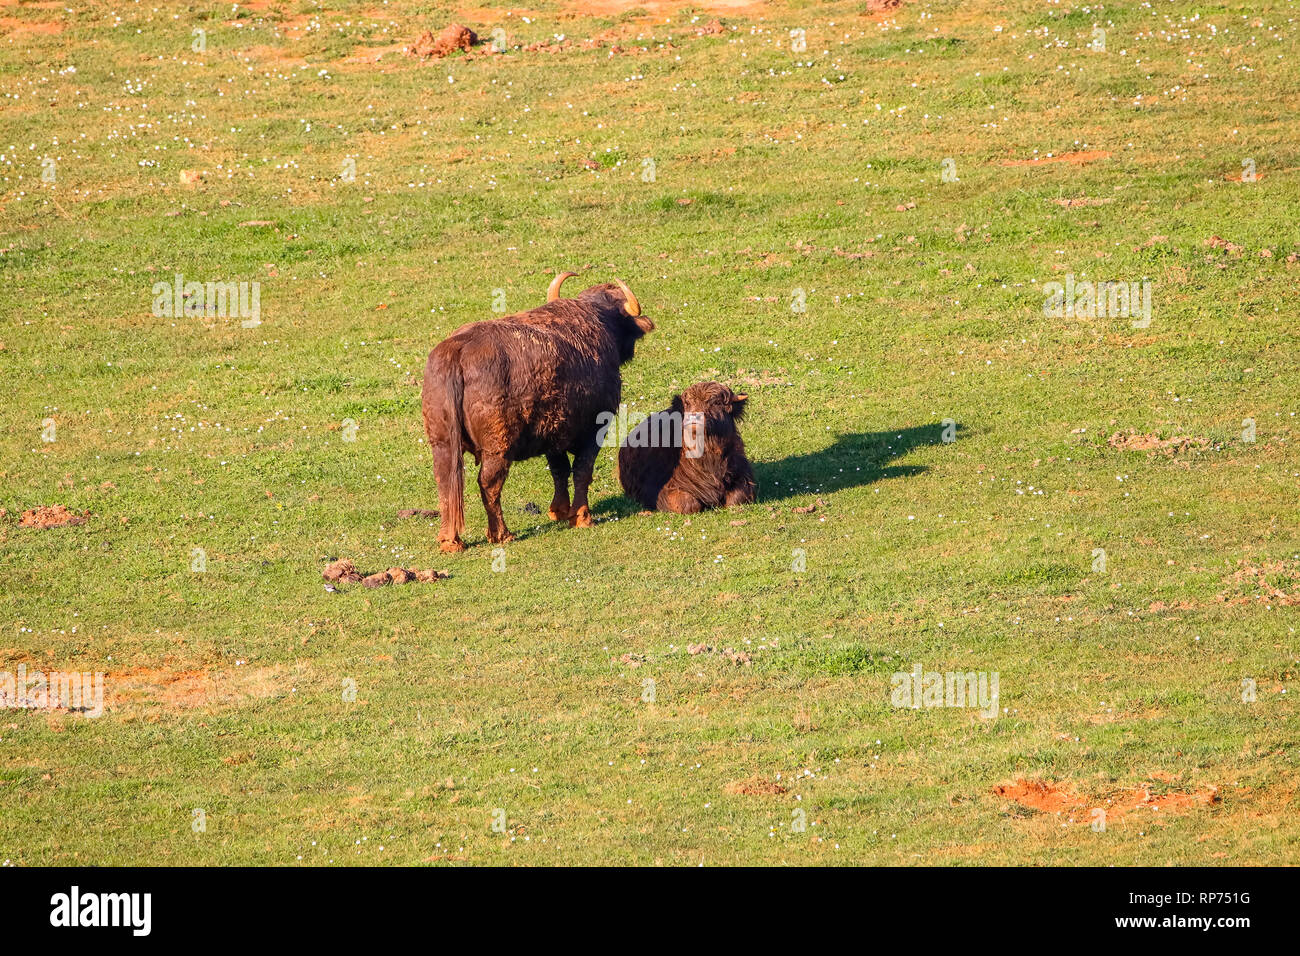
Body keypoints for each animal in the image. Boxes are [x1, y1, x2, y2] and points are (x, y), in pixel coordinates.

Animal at [422, 273, 654, 552]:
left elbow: (560, 470)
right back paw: (502, 534)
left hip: (443, 445)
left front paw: (559, 511)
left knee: (446, 483)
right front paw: (581, 516)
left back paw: (451, 541)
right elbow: (581, 471)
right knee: (489, 484)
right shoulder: (594, 431)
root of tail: (457, 351)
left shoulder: (553, 437)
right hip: (497, 450)